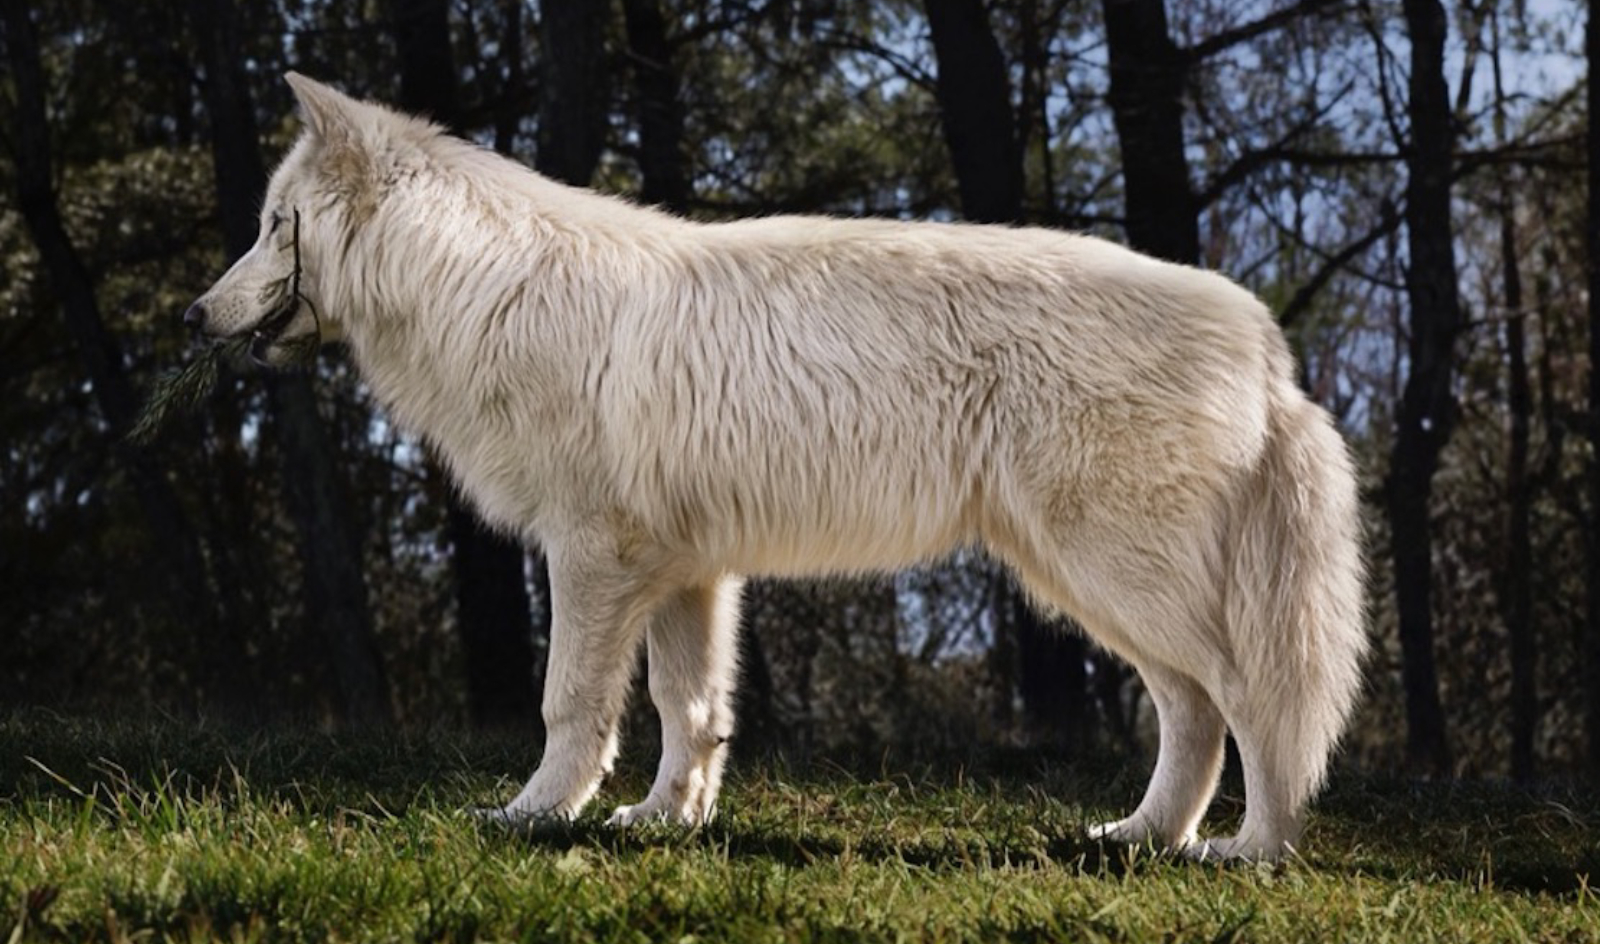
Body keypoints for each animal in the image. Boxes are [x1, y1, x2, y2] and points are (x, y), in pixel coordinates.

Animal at [186, 73, 1366, 861]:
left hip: (1115, 583)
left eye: (272, 226)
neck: (481, 287)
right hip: (1091, 591)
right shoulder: (686, 575)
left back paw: (1251, 851)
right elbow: (689, 710)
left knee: (1257, 705)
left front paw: (530, 816)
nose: (193, 315)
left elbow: (571, 706)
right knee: (1195, 717)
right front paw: (662, 822)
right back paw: (1138, 837)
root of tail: (1267, 341)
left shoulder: (591, 558)